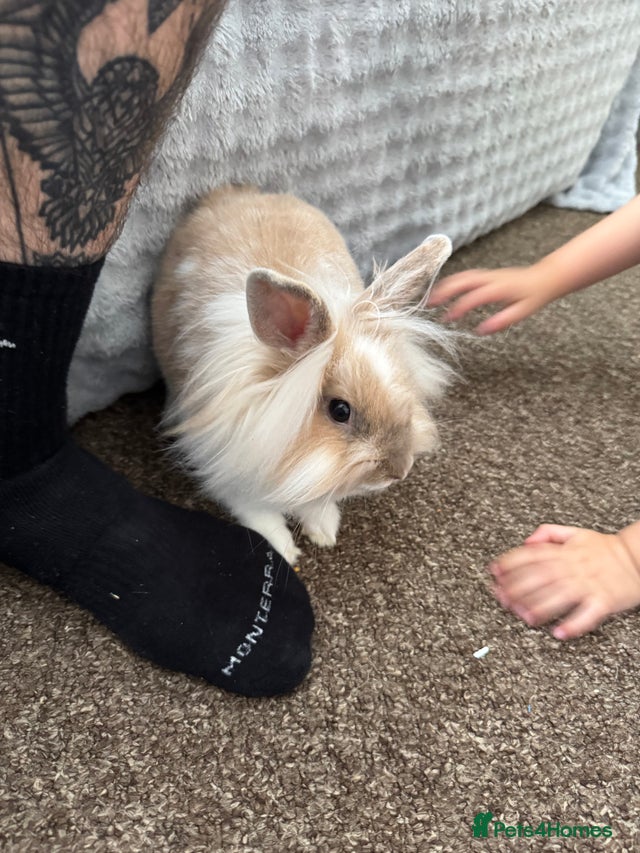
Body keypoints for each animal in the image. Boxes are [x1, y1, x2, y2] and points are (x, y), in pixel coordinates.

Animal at [151, 185, 455, 564]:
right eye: (340, 410)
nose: (398, 470)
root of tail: (230, 192)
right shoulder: (233, 472)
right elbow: (259, 515)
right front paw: (286, 550)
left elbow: (316, 501)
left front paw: (323, 531)